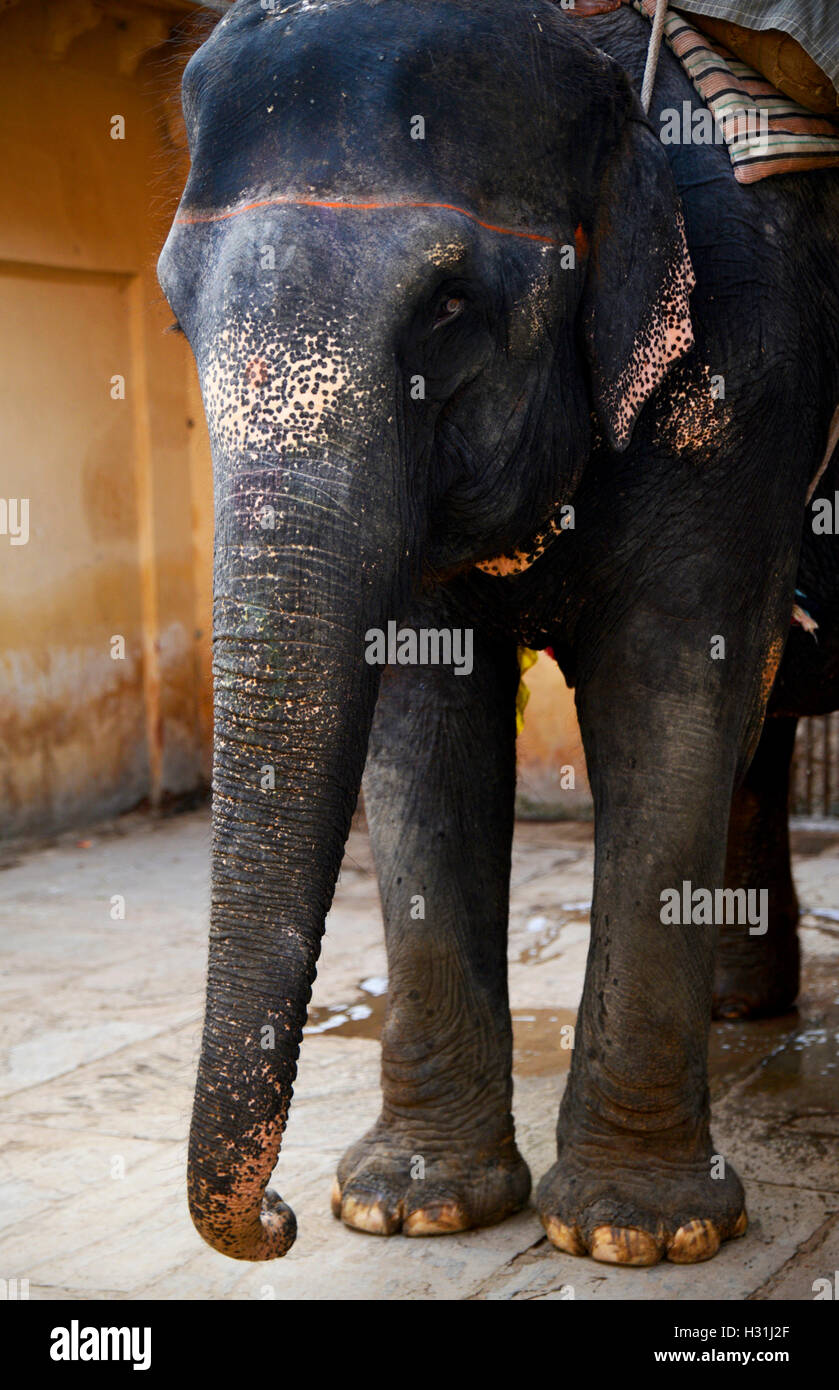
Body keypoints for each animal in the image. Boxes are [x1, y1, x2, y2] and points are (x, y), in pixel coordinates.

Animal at [157, 0, 839, 1267]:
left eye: (445, 306)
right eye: (176, 311)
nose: (275, 1216)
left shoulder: (744, 372)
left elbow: (667, 690)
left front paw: (634, 1232)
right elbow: (423, 719)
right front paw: (405, 1203)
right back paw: (739, 1008)